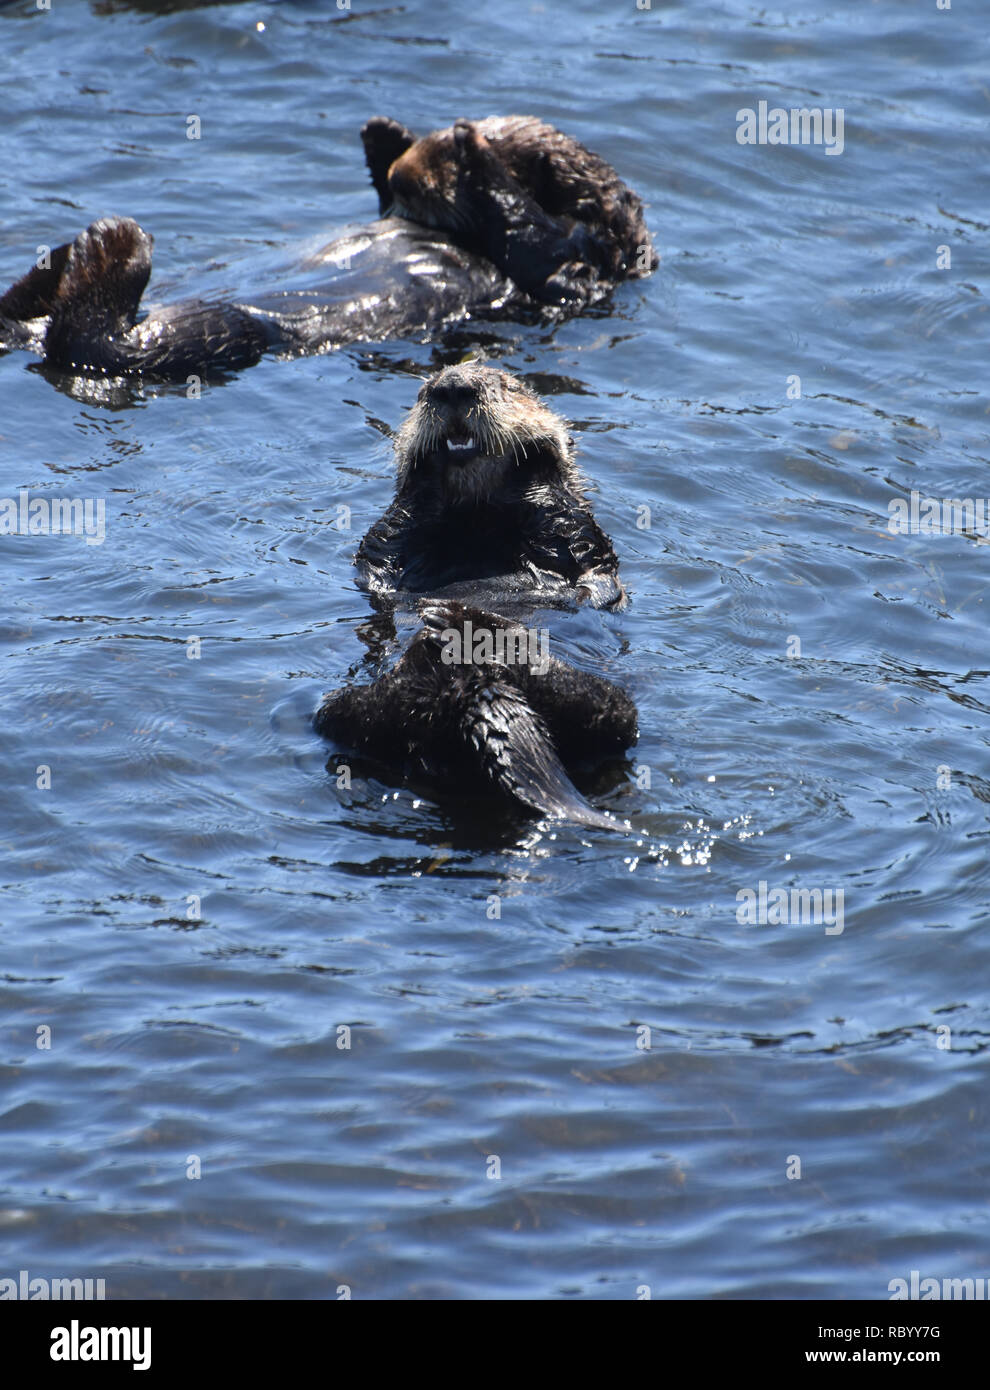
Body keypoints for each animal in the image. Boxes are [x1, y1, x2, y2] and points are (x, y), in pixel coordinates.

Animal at [0, 116, 656, 382]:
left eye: (442, 167)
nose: (401, 173)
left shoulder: (574, 270)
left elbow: (533, 243)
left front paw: (476, 150)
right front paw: (384, 135)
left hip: (218, 334)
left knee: (91, 344)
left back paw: (110, 244)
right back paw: (59, 258)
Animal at [315, 365, 637, 828]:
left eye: (510, 386)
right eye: (421, 392)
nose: (451, 387)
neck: (477, 522)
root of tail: (475, 688)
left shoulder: (585, 544)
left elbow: (585, 552)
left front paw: (536, 462)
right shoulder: (385, 553)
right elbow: (382, 549)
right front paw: (426, 468)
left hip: (613, 712)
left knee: (612, 711)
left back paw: (471, 627)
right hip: (344, 715)